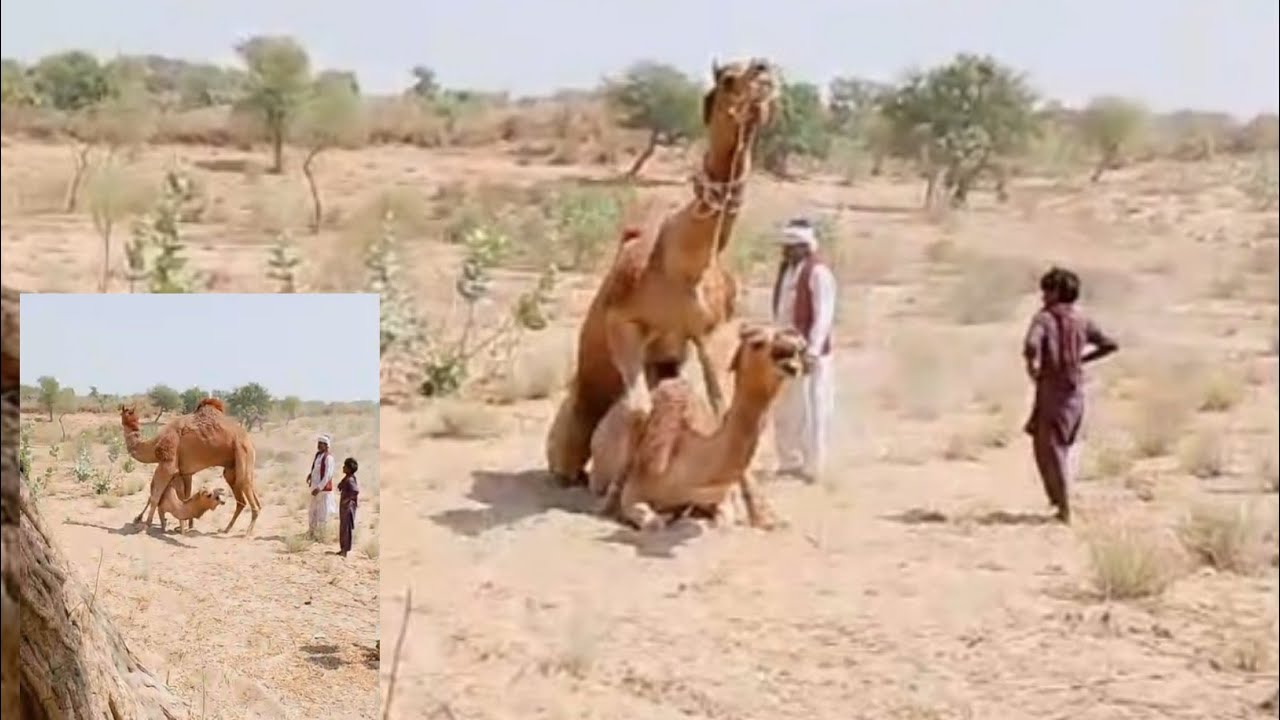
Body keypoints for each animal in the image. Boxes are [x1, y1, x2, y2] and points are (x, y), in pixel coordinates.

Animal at [127, 397, 262, 535]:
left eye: (129, 413)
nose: (134, 424)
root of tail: (249, 441)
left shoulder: (168, 464)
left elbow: (155, 496)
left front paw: (145, 525)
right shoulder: (185, 472)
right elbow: (182, 495)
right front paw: (185, 526)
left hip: (243, 454)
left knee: (247, 490)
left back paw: (247, 532)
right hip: (231, 469)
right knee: (244, 500)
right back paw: (226, 529)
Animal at [546, 58, 778, 488]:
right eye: (728, 79)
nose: (764, 71)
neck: (681, 263)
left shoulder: (704, 331)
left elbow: (717, 402)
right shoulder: (623, 323)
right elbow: (639, 407)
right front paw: (619, 484)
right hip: (573, 418)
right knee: (571, 449)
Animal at [591, 323, 809, 531]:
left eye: (795, 347)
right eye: (757, 343)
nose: (795, 344)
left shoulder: (718, 497)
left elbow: (723, 522)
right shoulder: (634, 492)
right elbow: (654, 523)